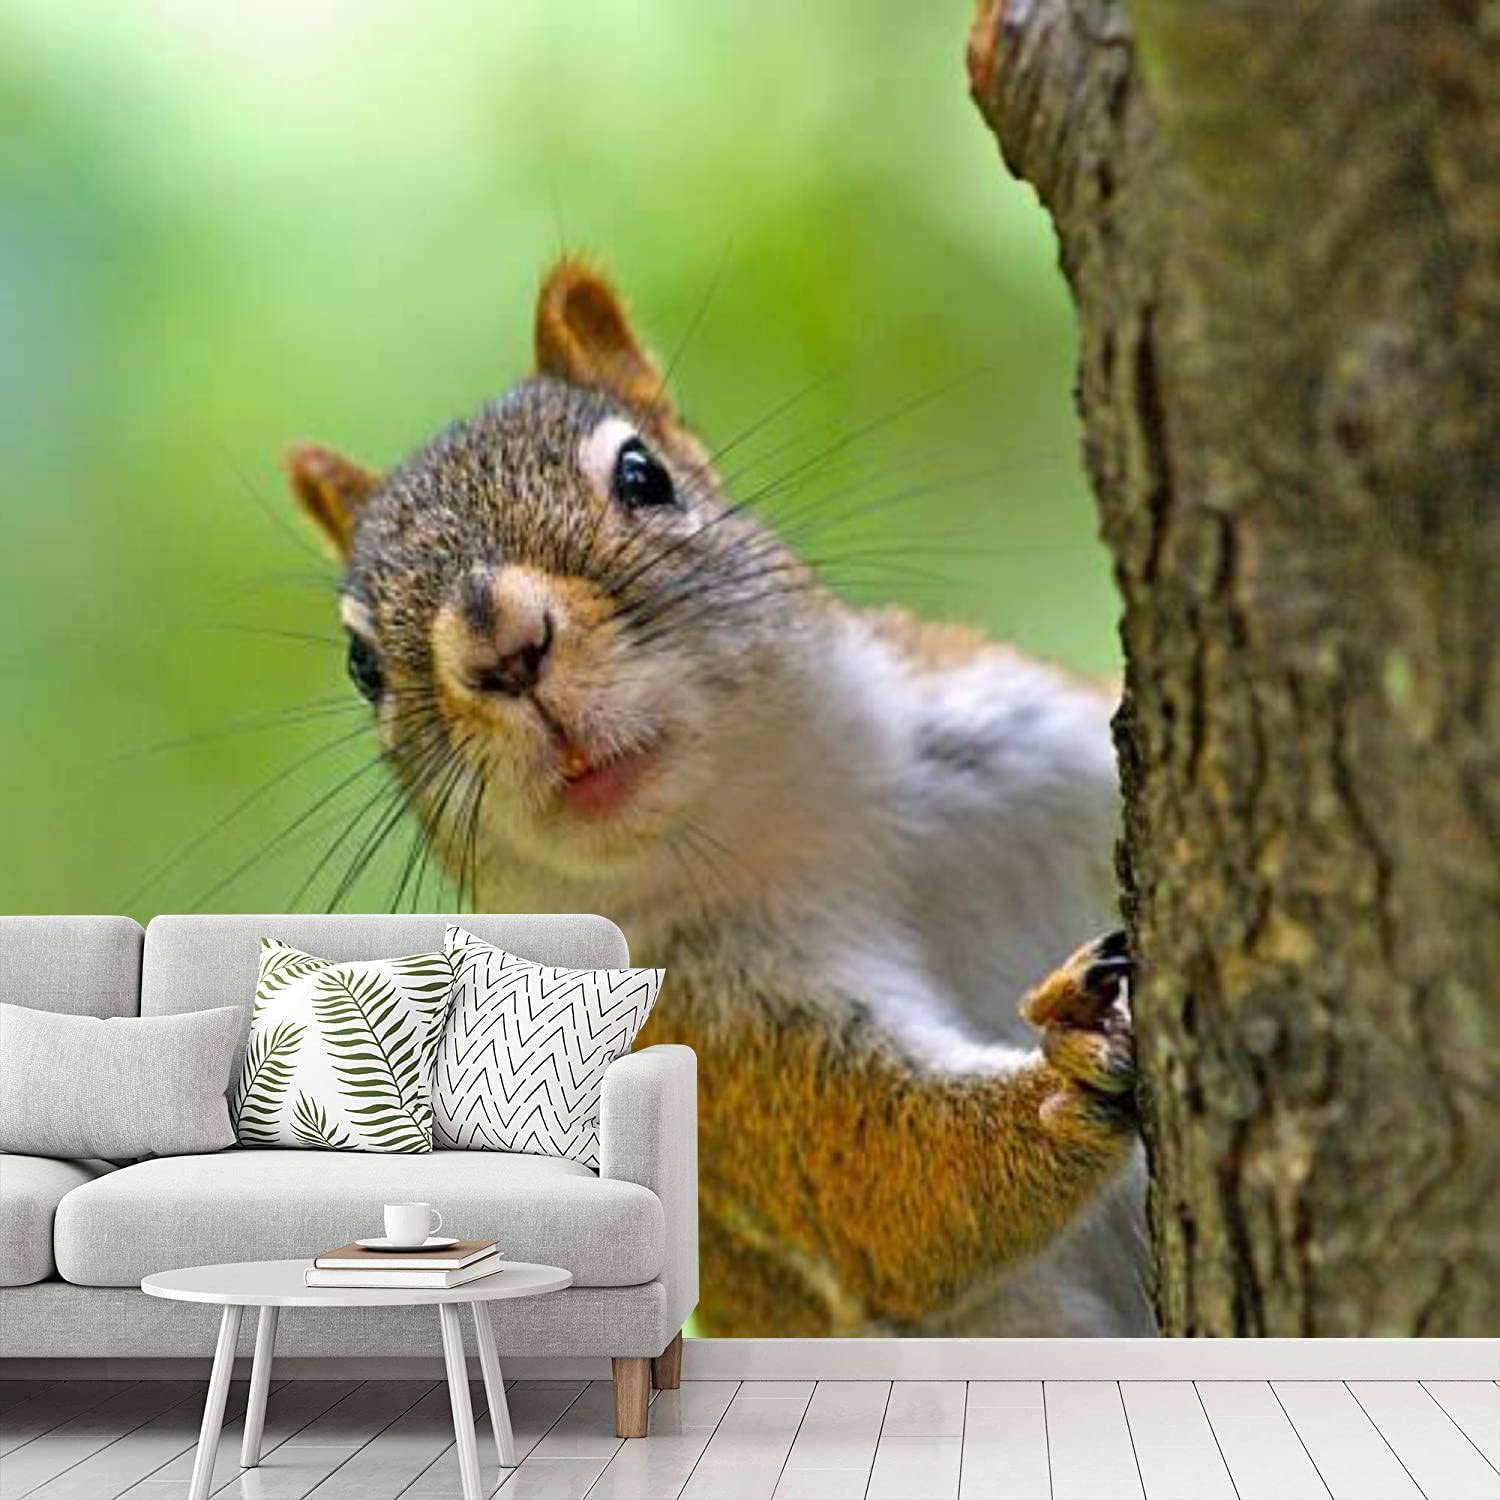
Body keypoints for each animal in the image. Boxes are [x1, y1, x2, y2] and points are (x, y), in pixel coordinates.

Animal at [285, 259, 1153, 1337]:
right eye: (362, 663)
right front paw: (1069, 1064)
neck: (786, 821)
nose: (502, 645)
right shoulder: (709, 1027)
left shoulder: (1032, 736)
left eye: (642, 475)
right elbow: (888, 1182)